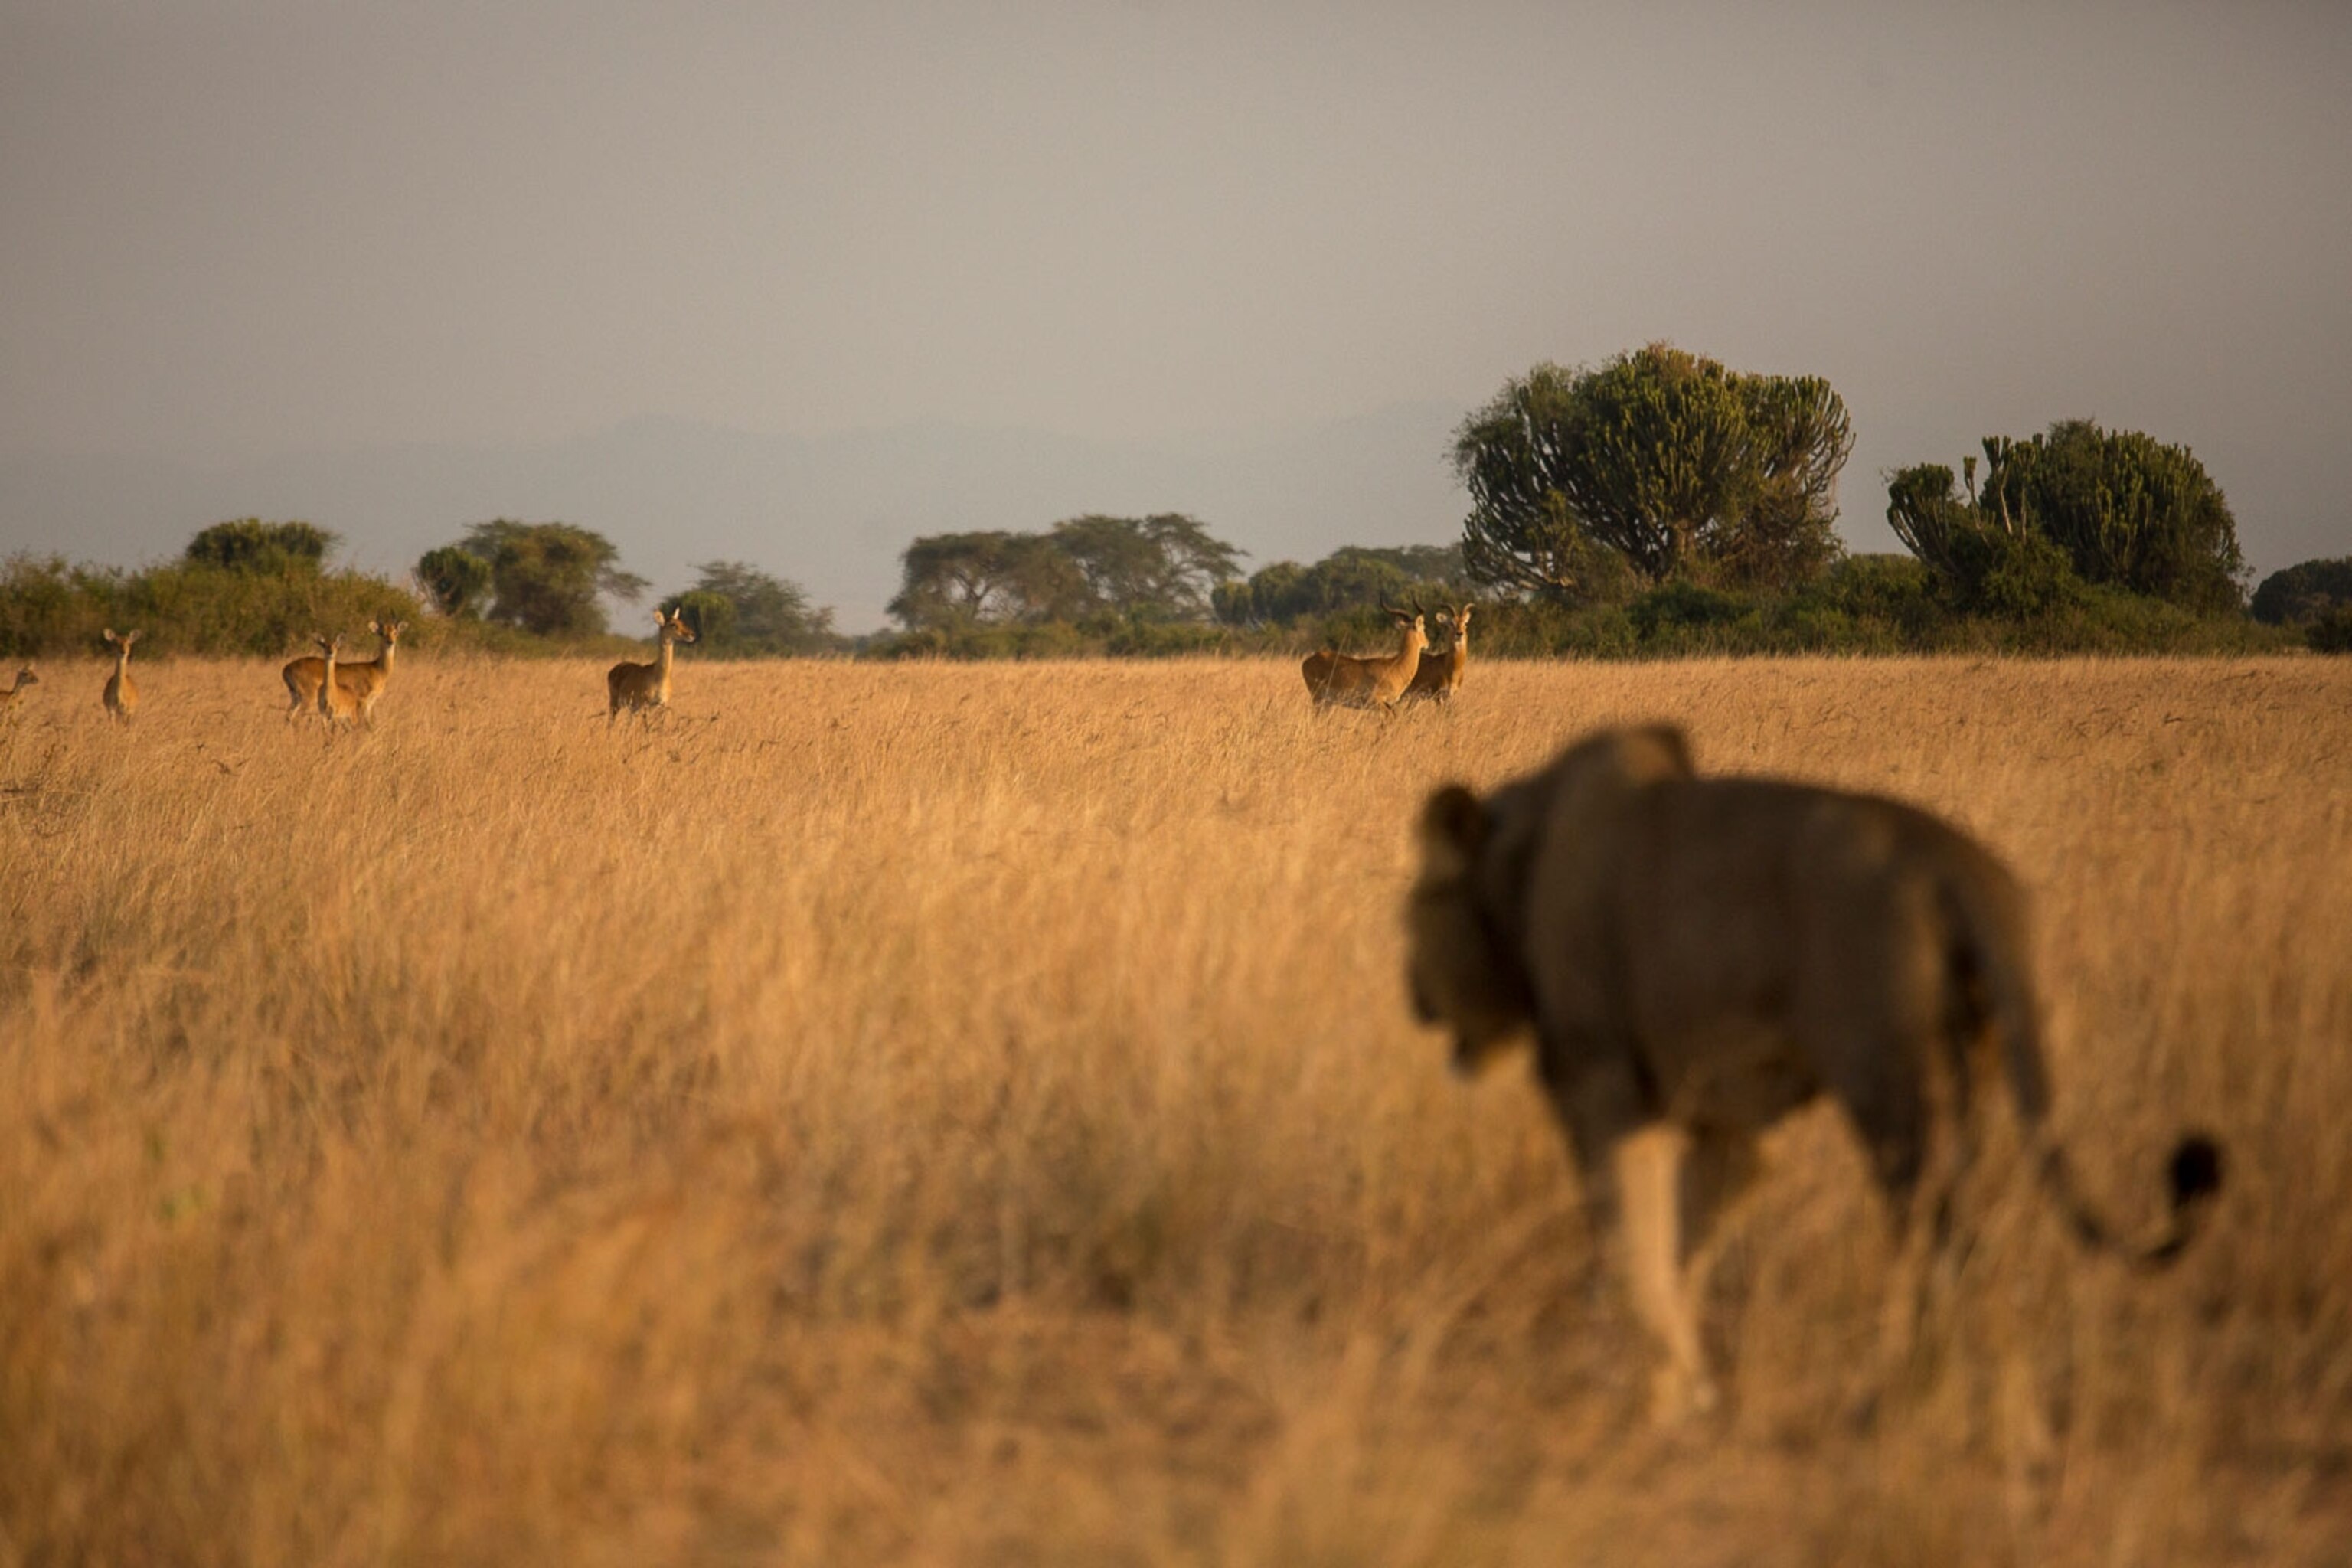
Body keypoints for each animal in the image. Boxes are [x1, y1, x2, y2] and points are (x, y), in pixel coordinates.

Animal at [1405, 724, 2224, 1419]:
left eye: (1412, 910)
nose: (1412, 993)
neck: (1520, 867)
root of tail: (1952, 861)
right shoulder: (1725, 1126)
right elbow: (1680, 1241)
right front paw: (1686, 1385)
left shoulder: (1597, 1083)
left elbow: (1629, 1236)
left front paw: (1644, 1384)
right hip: (1981, 1064)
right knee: (1972, 1221)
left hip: (1883, 1077)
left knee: (1928, 1225)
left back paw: (1912, 1395)